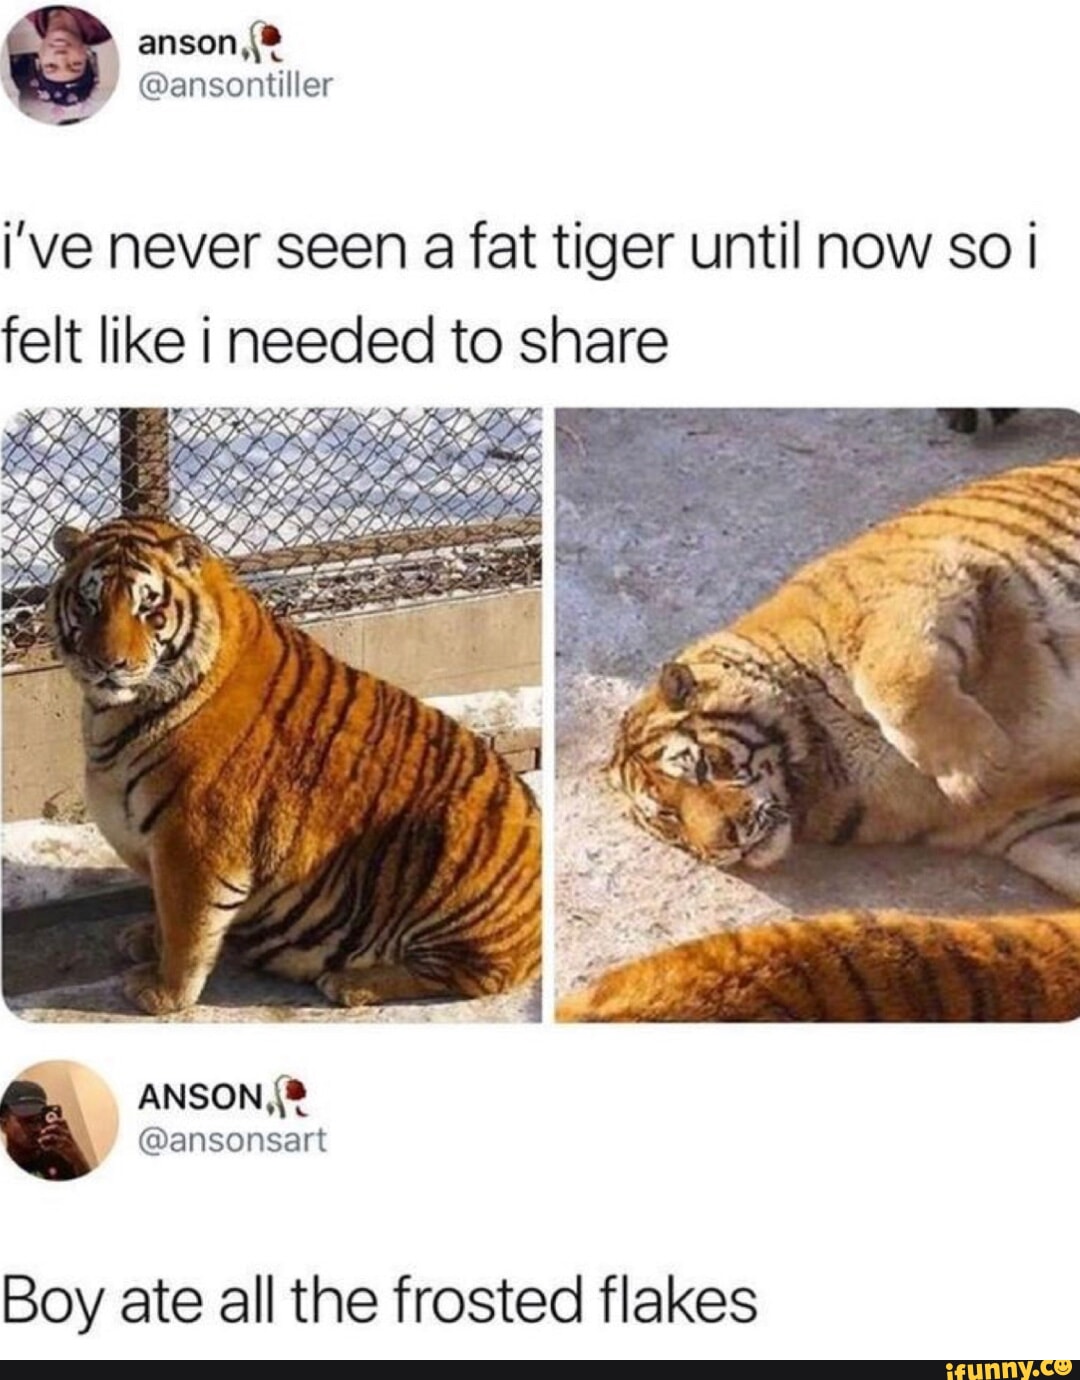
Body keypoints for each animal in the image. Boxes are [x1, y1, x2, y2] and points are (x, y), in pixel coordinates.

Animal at [47, 517, 541, 1016]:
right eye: (89, 604)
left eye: (149, 609)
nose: (106, 664)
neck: (115, 714)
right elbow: (165, 912)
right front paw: (146, 938)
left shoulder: (195, 841)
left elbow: (186, 928)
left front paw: (162, 993)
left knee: (473, 976)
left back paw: (349, 983)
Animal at [560, 455, 1080, 1022]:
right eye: (670, 818)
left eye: (701, 765)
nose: (724, 845)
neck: (824, 774)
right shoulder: (1032, 822)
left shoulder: (912, 590)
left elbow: (896, 679)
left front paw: (981, 767)